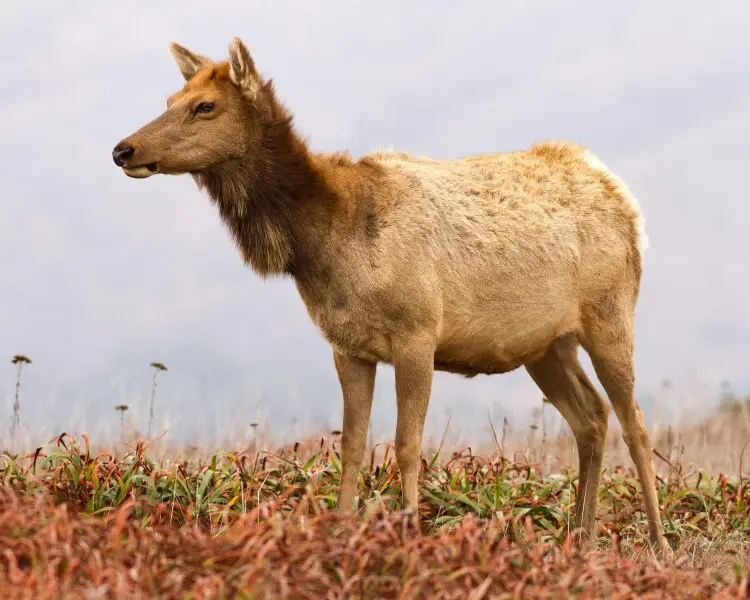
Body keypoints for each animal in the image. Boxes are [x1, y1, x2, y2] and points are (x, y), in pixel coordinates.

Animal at [111, 37, 669, 556]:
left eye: (205, 106)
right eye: (170, 97)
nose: (123, 149)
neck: (327, 243)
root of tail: (623, 196)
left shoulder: (418, 332)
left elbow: (406, 444)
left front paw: (410, 532)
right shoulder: (348, 347)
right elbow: (353, 446)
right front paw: (342, 528)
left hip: (611, 314)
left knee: (636, 424)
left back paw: (658, 542)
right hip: (546, 345)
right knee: (591, 417)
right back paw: (583, 536)